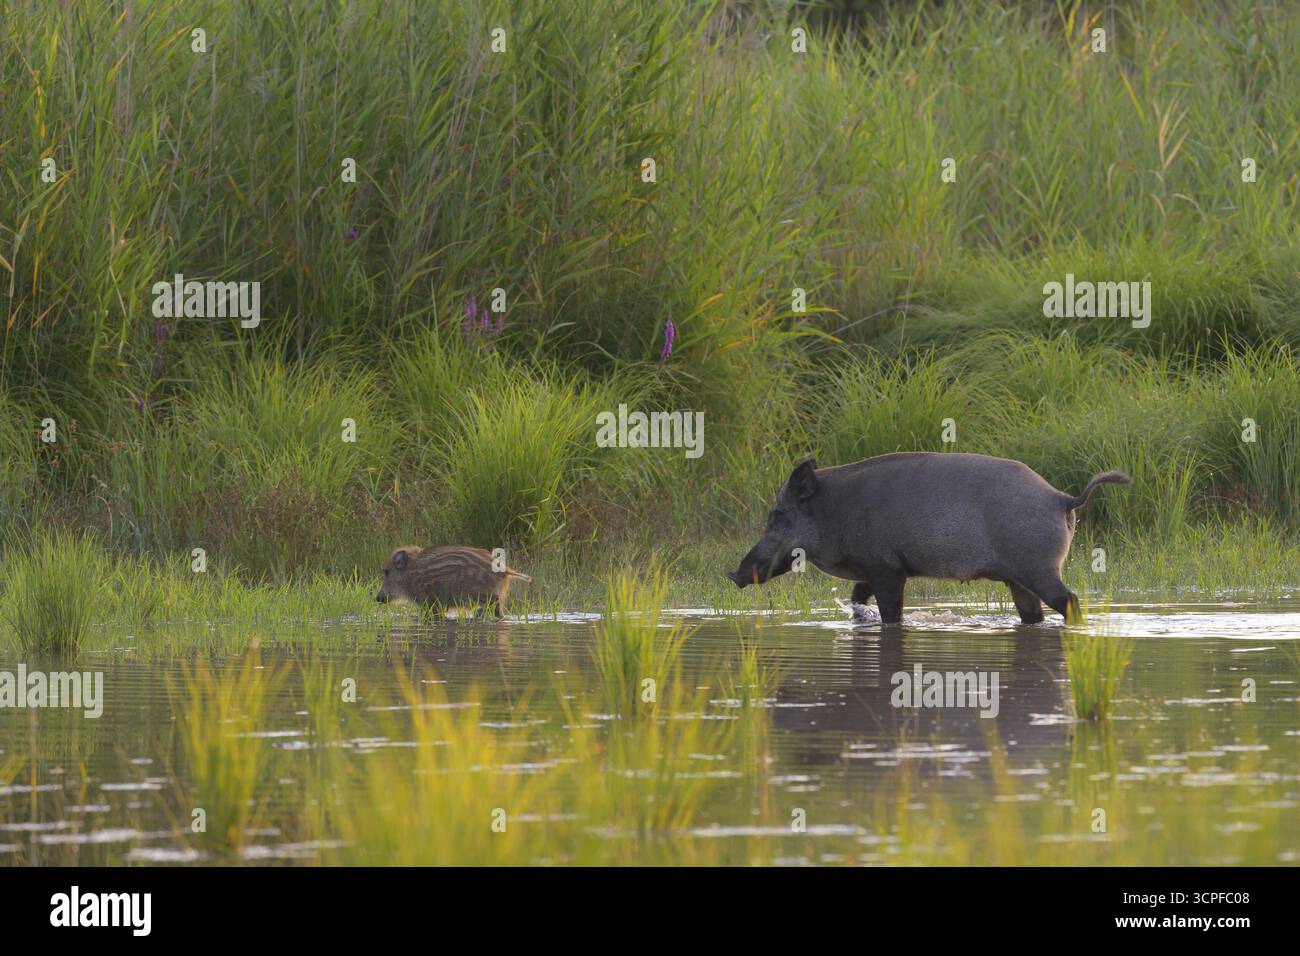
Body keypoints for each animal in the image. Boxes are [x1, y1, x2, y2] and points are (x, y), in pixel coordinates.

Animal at [375, 545, 531, 618]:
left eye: (387, 572)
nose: (377, 598)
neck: (411, 575)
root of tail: (505, 570)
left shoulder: (430, 602)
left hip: (481, 594)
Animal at [728, 453, 1131, 625]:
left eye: (777, 516)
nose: (734, 574)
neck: (836, 513)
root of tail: (1062, 498)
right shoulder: (870, 570)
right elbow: (857, 598)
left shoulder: (887, 568)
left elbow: (892, 612)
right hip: (1019, 579)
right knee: (1032, 615)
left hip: (1040, 568)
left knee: (1071, 601)